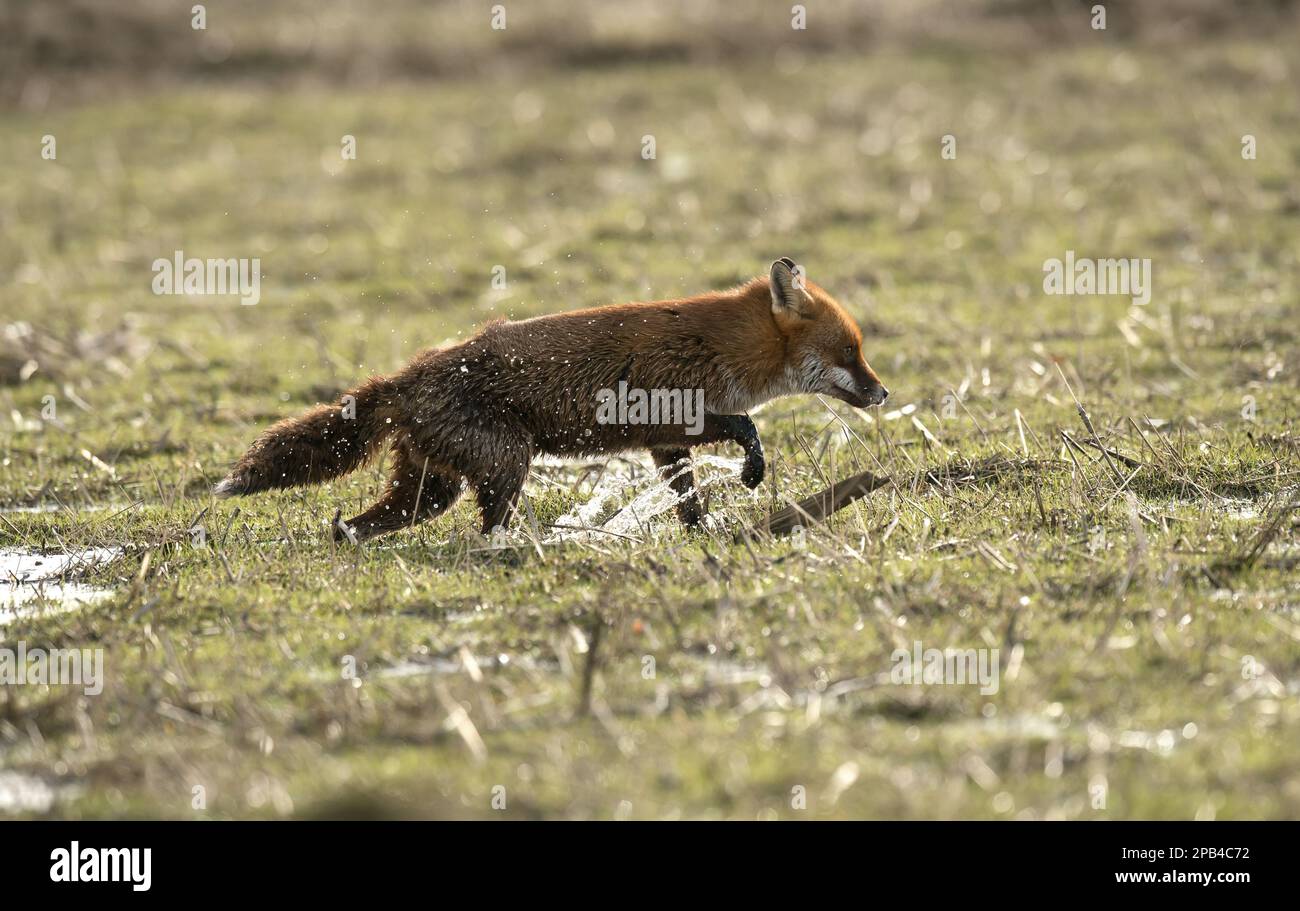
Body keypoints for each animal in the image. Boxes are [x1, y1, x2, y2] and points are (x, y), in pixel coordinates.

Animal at [214, 258, 889, 542]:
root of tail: (407, 375)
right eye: (850, 351)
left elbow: (690, 501)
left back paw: (349, 540)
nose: (884, 392)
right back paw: (518, 551)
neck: (718, 345)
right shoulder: (675, 414)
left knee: (359, 525)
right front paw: (751, 473)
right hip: (507, 464)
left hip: (432, 488)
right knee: (486, 531)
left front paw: (707, 533)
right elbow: (747, 426)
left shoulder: (665, 442)